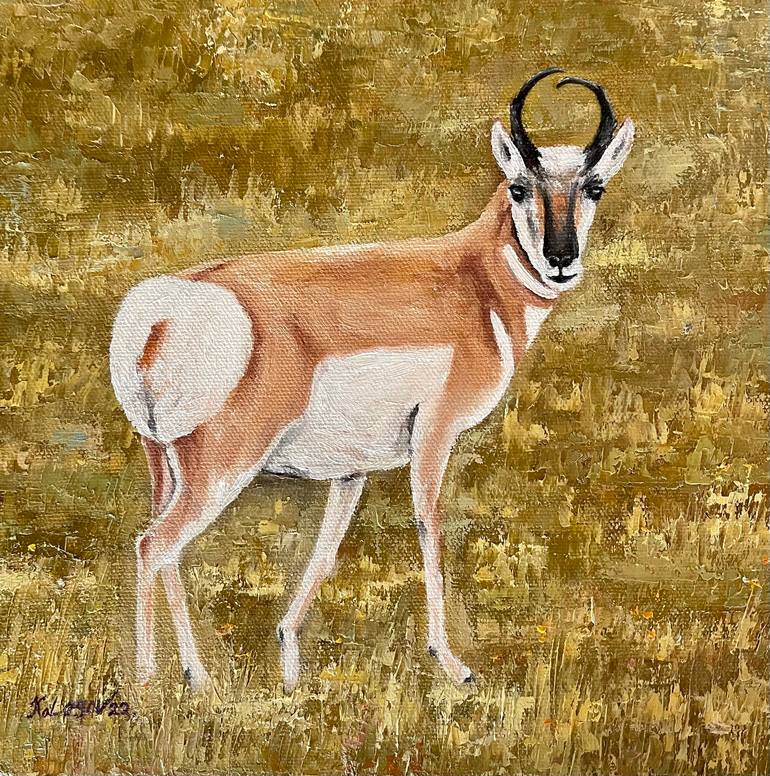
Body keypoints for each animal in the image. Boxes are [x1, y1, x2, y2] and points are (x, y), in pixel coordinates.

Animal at [110, 68, 634, 692]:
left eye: (595, 187)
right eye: (518, 187)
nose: (560, 258)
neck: (474, 281)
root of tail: (162, 307)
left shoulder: (350, 470)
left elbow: (325, 550)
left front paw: (290, 669)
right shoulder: (434, 437)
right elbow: (429, 526)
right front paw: (452, 664)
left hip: (166, 467)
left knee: (163, 546)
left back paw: (196, 677)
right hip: (220, 468)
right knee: (152, 545)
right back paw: (149, 682)